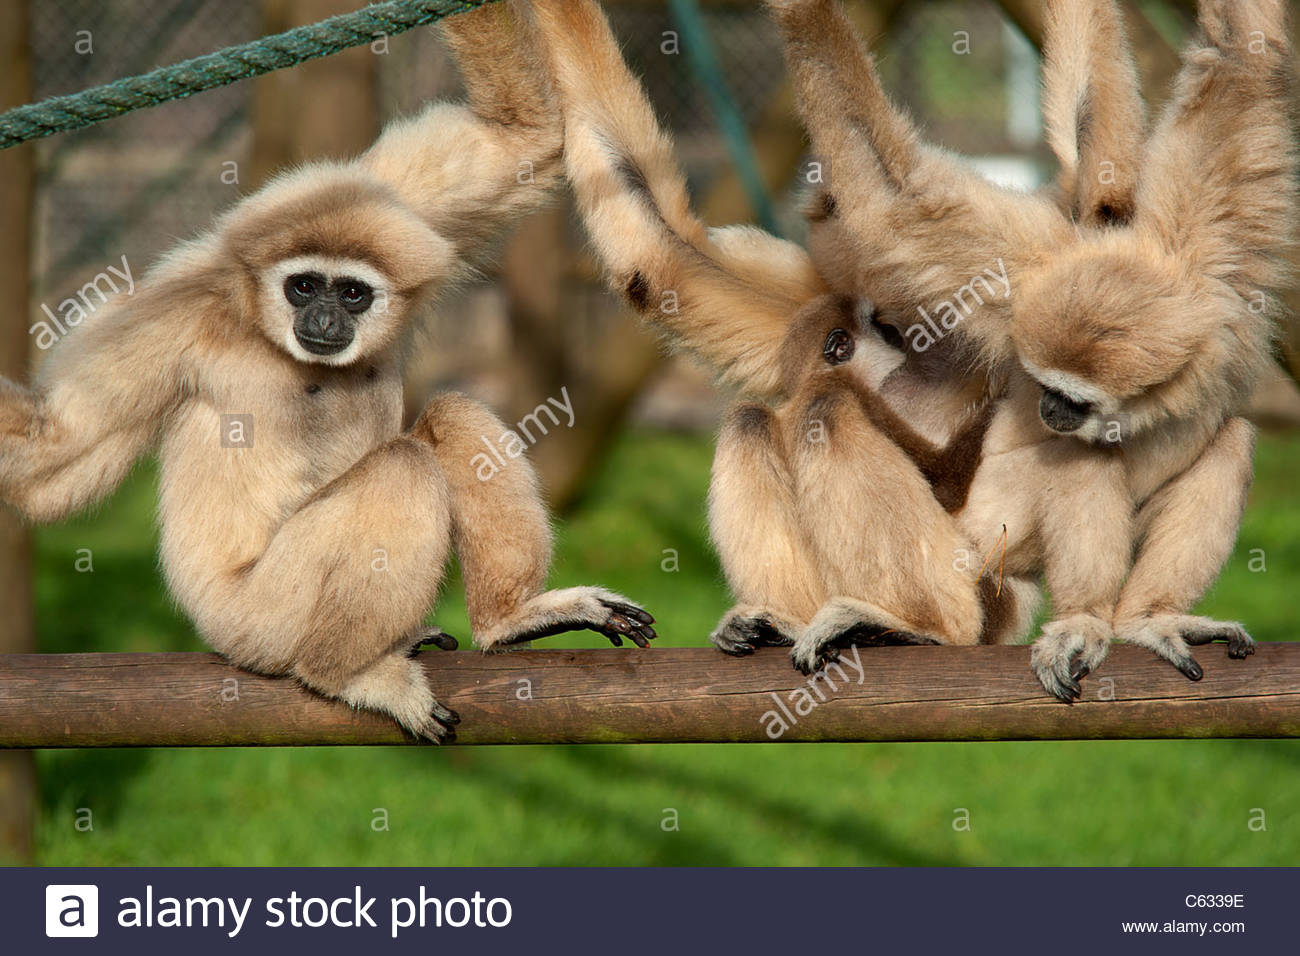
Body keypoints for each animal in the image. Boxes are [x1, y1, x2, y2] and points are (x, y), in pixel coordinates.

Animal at [0, 1, 656, 744]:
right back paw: (349, 674)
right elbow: (53, 456)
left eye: (351, 294)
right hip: (260, 619)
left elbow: (520, 140)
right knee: (401, 471)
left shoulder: (401, 211)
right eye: (304, 286)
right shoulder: (169, 319)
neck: (256, 323)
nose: (323, 319)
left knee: (448, 416)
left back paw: (510, 620)